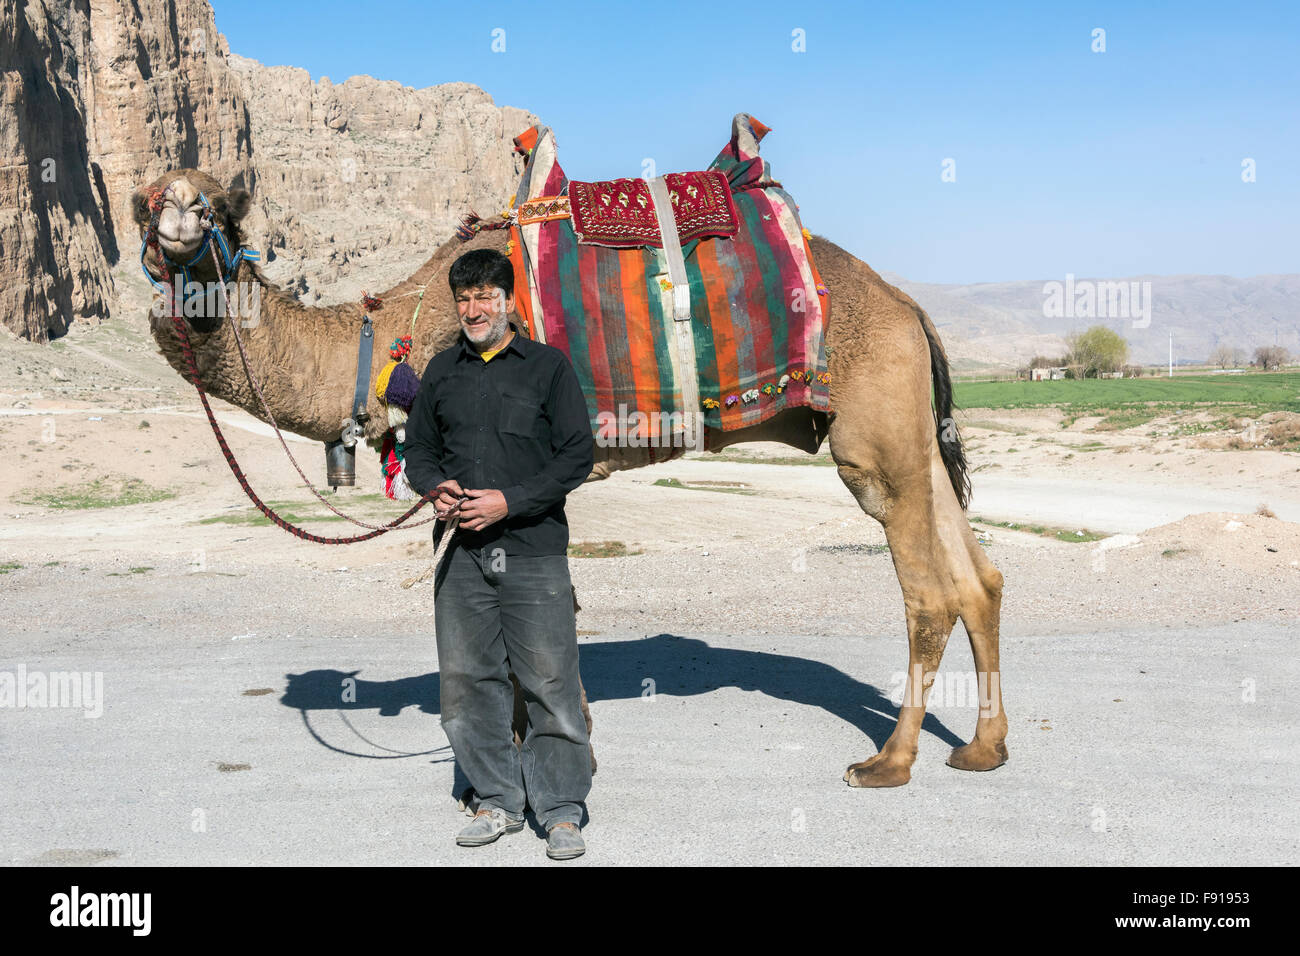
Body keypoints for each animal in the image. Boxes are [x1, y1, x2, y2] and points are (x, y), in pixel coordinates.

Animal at [134, 167, 1008, 788]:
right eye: (143, 199)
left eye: (220, 208)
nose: (176, 215)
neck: (394, 338)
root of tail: (907, 305)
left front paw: (540, 755)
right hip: (913, 433)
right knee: (980, 578)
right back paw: (983, 749)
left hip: (872, 435)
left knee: (928, 592)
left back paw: (888, 763)